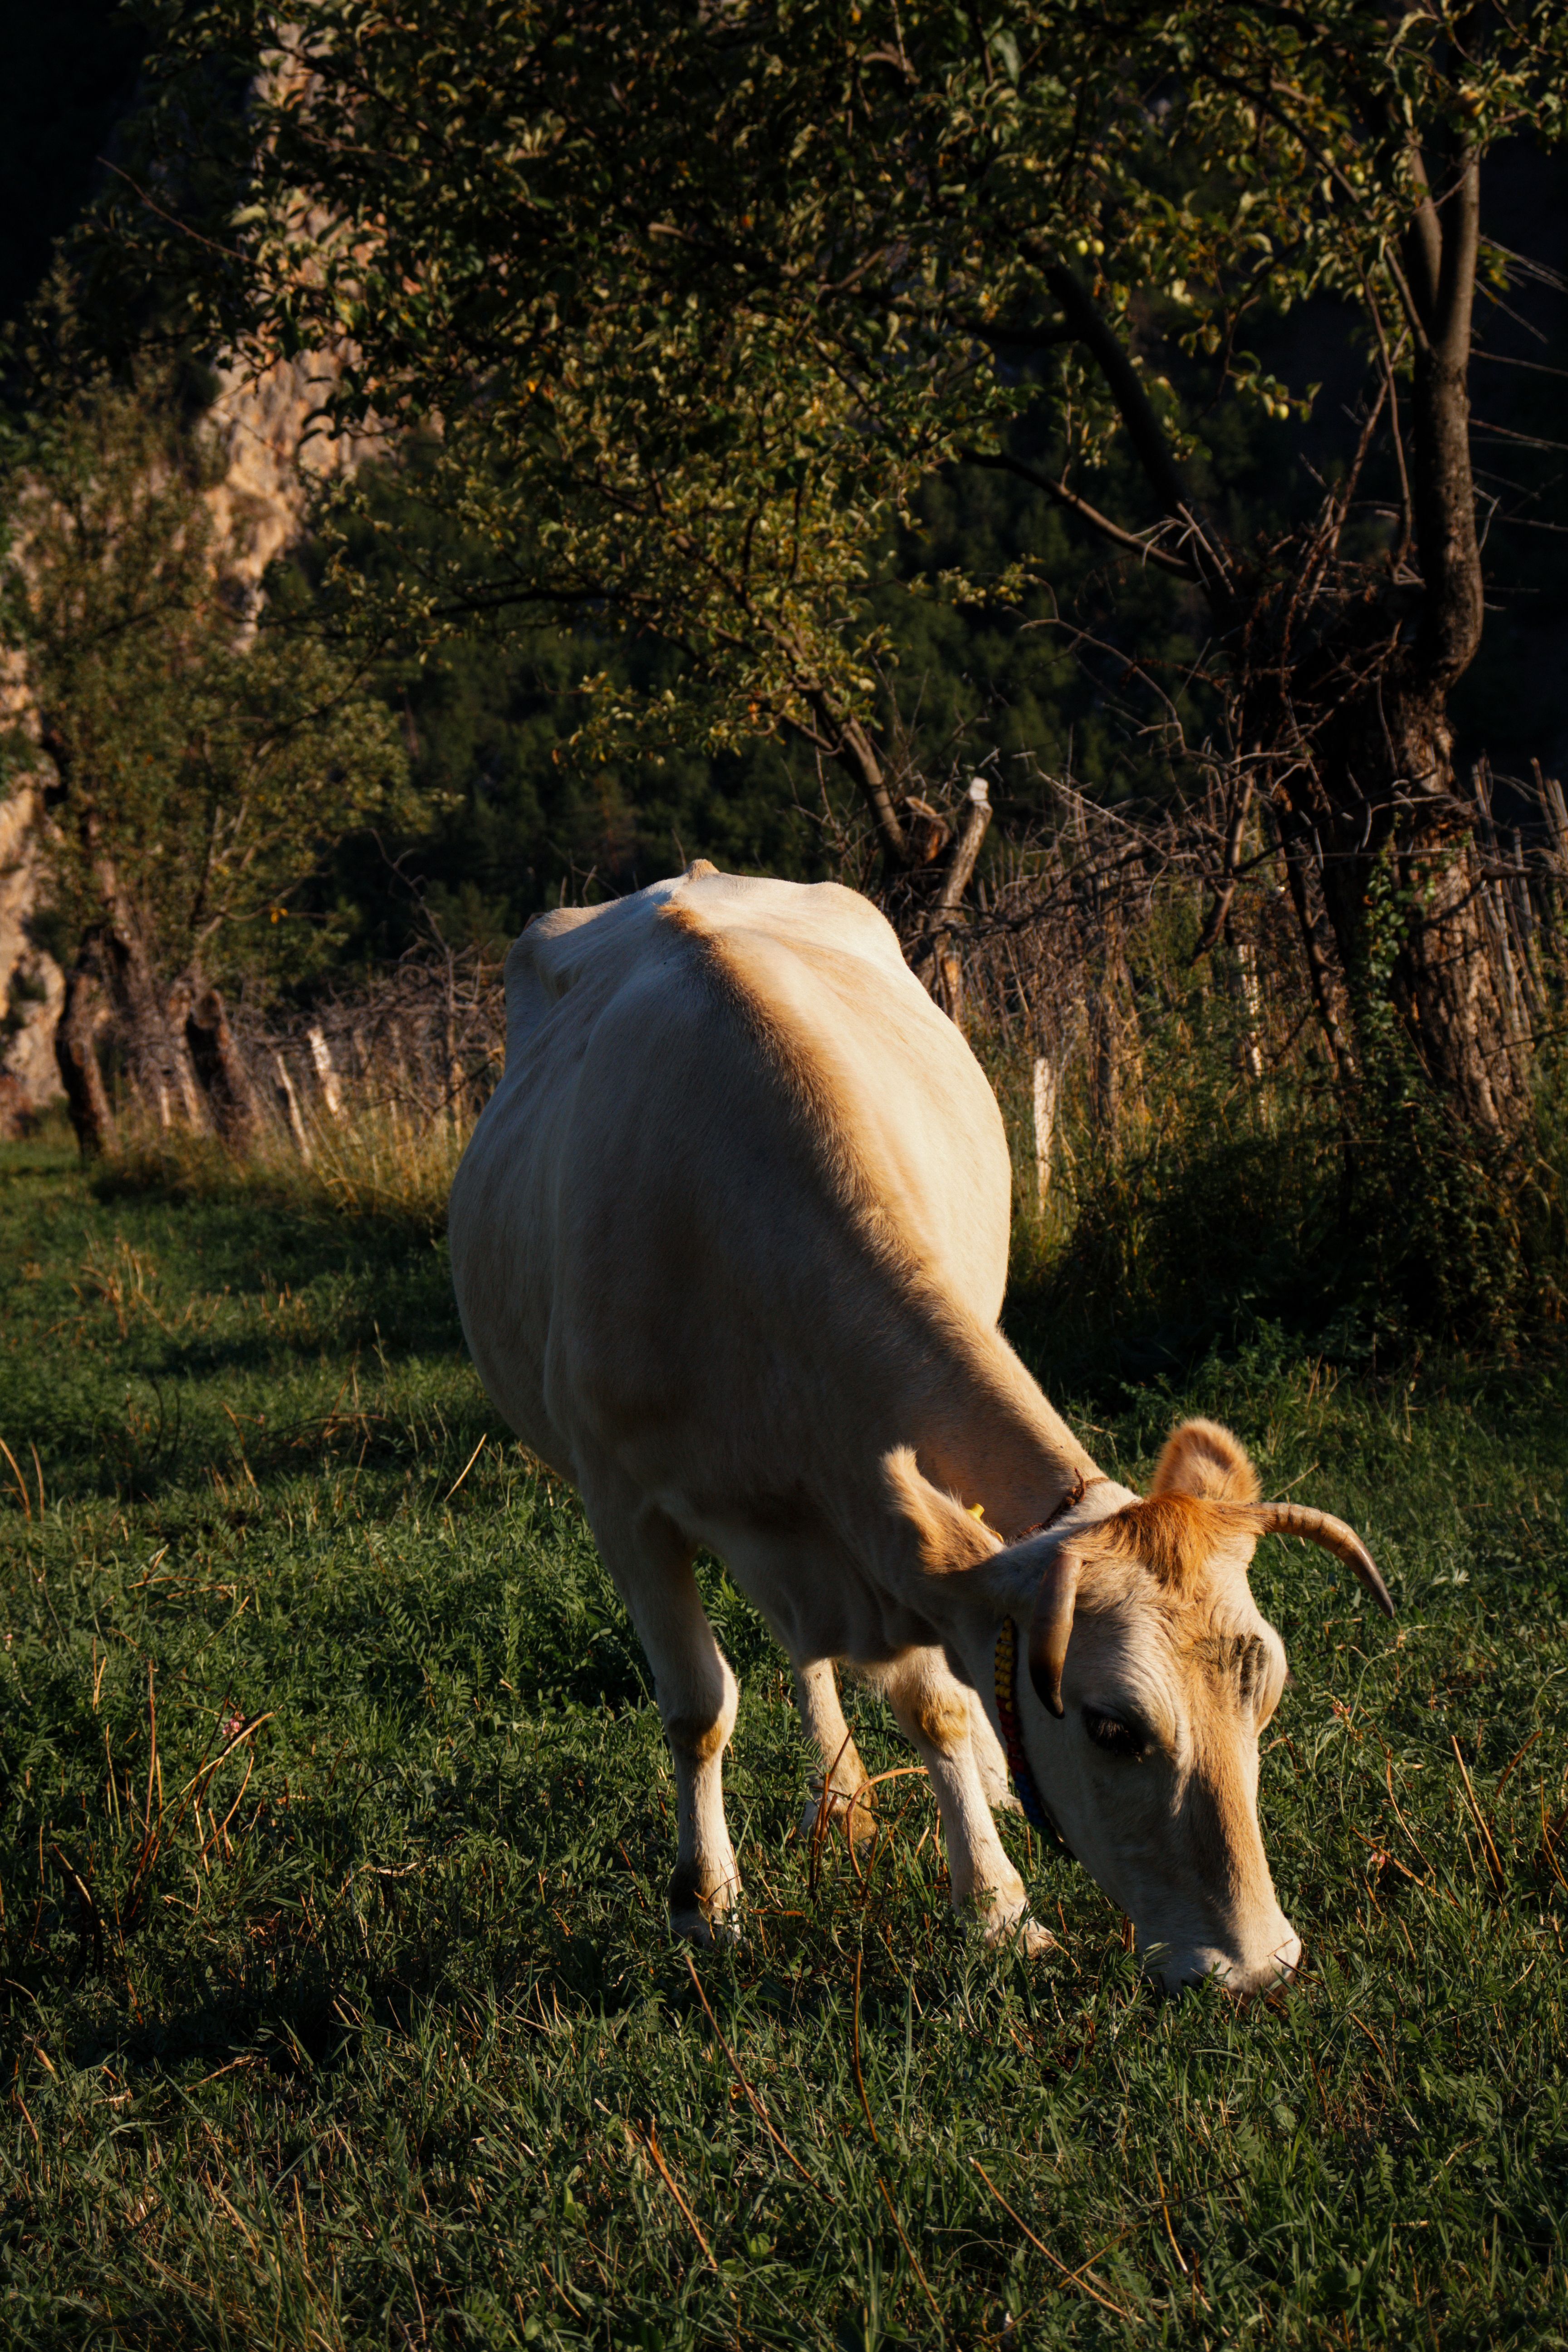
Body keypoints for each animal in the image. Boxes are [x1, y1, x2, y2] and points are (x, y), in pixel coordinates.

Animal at [449, 863, 1390, 1990]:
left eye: (1266, 1687)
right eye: (1113, 1729)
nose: (1258, 1968)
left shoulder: (880, 1501)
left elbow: (937, 1695)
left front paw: (992, 1903)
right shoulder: (623, 1501)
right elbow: (697, 1706)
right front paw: (706, 1905)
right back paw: (839, 1798)